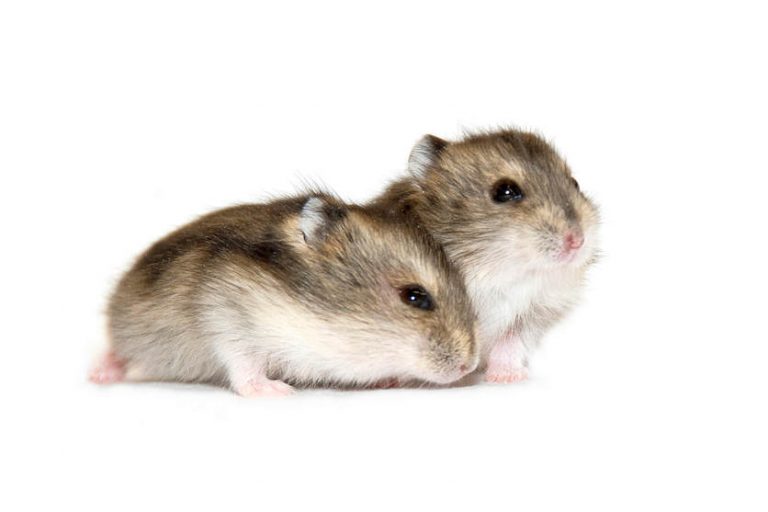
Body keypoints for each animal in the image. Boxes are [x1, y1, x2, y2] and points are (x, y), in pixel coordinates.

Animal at [90, 193, 478, 396]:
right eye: (415, 296)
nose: (469, 366)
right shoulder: (224, 312)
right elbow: (244, 366)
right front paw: (276, 390)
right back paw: (101, 375)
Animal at [370, 129, 600, 383]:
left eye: (575, 183)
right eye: (505, 192)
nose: (577, 241)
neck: (500, 271)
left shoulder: (532, 313)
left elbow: (510, 343)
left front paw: (506, 377)